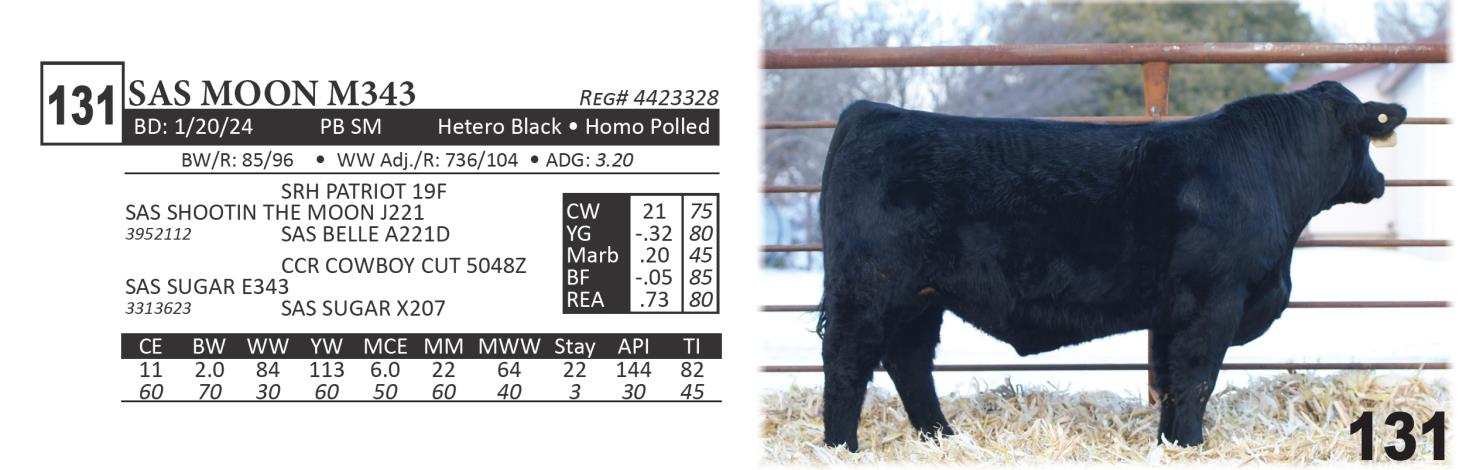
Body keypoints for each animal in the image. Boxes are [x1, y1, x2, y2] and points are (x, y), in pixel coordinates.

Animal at [816, 81, 1403, 451]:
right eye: (1366, 138)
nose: (1379, 181)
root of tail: (872, 111)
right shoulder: (1214, 299)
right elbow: (1197, 376)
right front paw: (1193, 444)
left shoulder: (1172, 312)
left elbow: (1170, 376)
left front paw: (1170, 442)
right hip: (869, 287)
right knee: (847, 362)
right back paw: (842, 447)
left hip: (922, 296)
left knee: (909, 361)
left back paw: (941, 438)